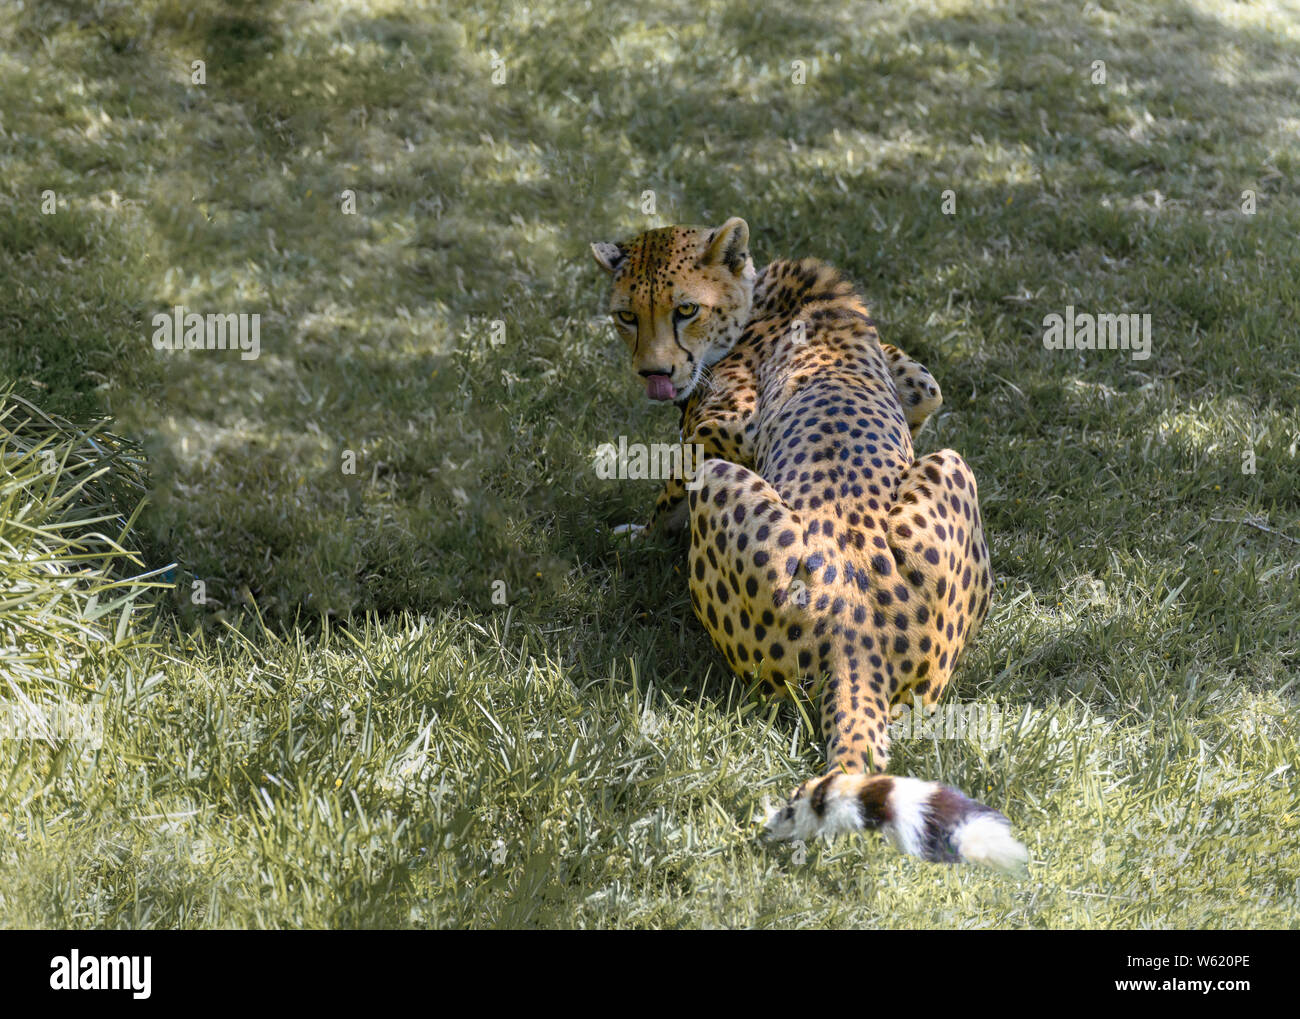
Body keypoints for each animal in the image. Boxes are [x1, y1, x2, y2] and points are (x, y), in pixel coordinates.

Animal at [592, 217, 1027, 872]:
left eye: (684, 309)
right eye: (625, 315)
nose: (652, 374)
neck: (766, 296)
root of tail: (855, 635)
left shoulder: (721, 428)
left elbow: (671, 487)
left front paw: (638, 538)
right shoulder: (917, 381)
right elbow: (927, 394)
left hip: (736, 491)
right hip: (949, 473)